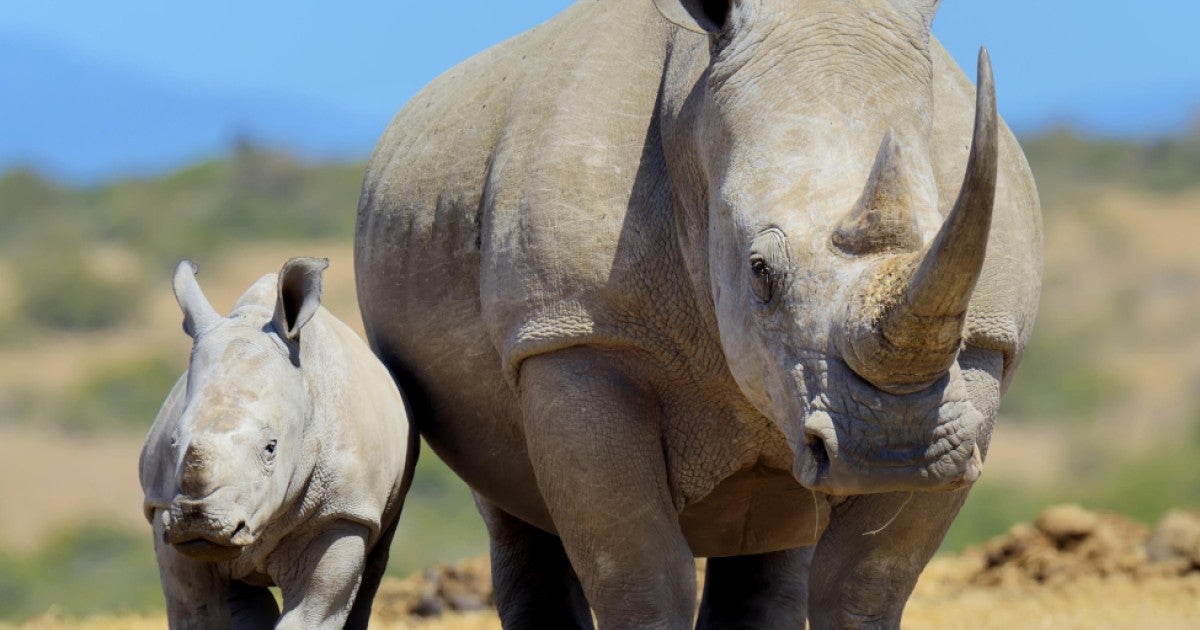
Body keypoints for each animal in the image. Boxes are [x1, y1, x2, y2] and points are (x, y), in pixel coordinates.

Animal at [140, 258, 416, 629]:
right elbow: (196, 612)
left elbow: (311, 613)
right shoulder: (162, 507)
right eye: (172, 443)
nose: (199, 521)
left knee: (370, 572)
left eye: (271, 448)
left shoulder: (341, 512)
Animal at [356, 0, 1041, 627]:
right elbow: (641, 577)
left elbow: (866, 582)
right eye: (760, 272)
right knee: (514, 511)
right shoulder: (573, 333)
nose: (890, 450)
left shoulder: (981, 345)